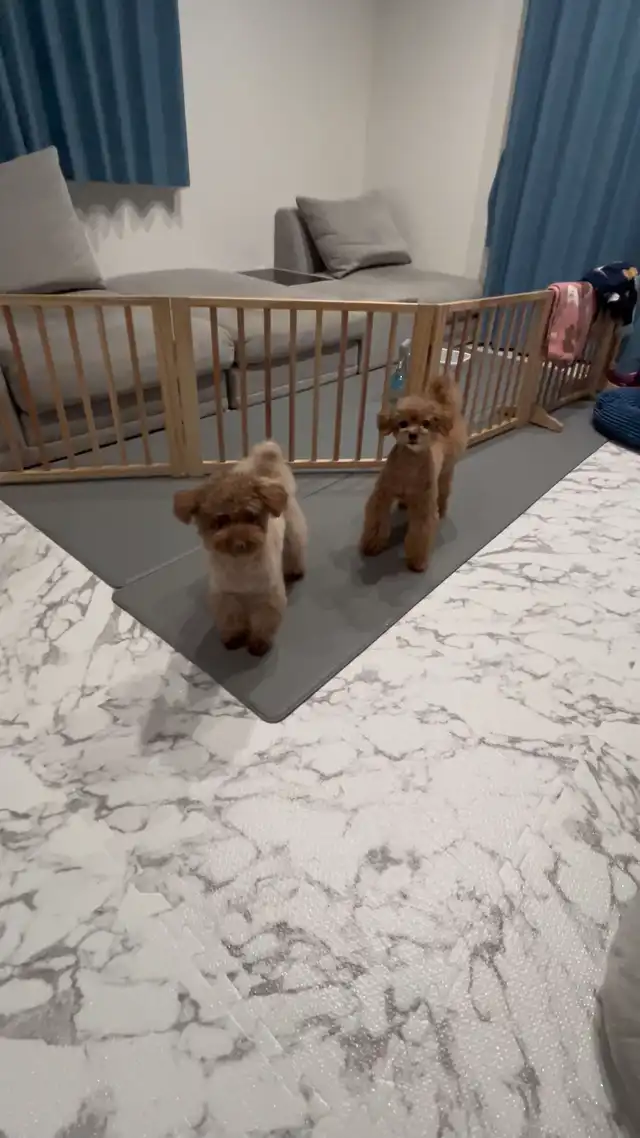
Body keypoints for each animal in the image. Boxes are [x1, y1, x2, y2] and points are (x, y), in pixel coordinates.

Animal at [173, 441, 307, 656]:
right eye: (220, 522)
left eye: (251, 517)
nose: (239, 541)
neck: (240, 565)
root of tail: (267, 469)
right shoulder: (225, 596)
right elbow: (231, 619)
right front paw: (234, 638)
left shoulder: (267, 596)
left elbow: (264, 621)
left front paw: (259, 643)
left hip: (293, 532)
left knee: (295, 548)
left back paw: (295, 570)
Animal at [360, 377, 467, 572]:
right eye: (403, 423)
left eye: (426, 424)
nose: (413, 435)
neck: (409, 466)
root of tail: (444, 406)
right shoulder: (382, 496)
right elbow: (377, 521)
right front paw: (372, 546)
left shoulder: (424, 505)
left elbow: (420, 533)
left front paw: (417, 561)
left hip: (446, 472)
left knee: (444, 492)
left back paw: (442, 510)